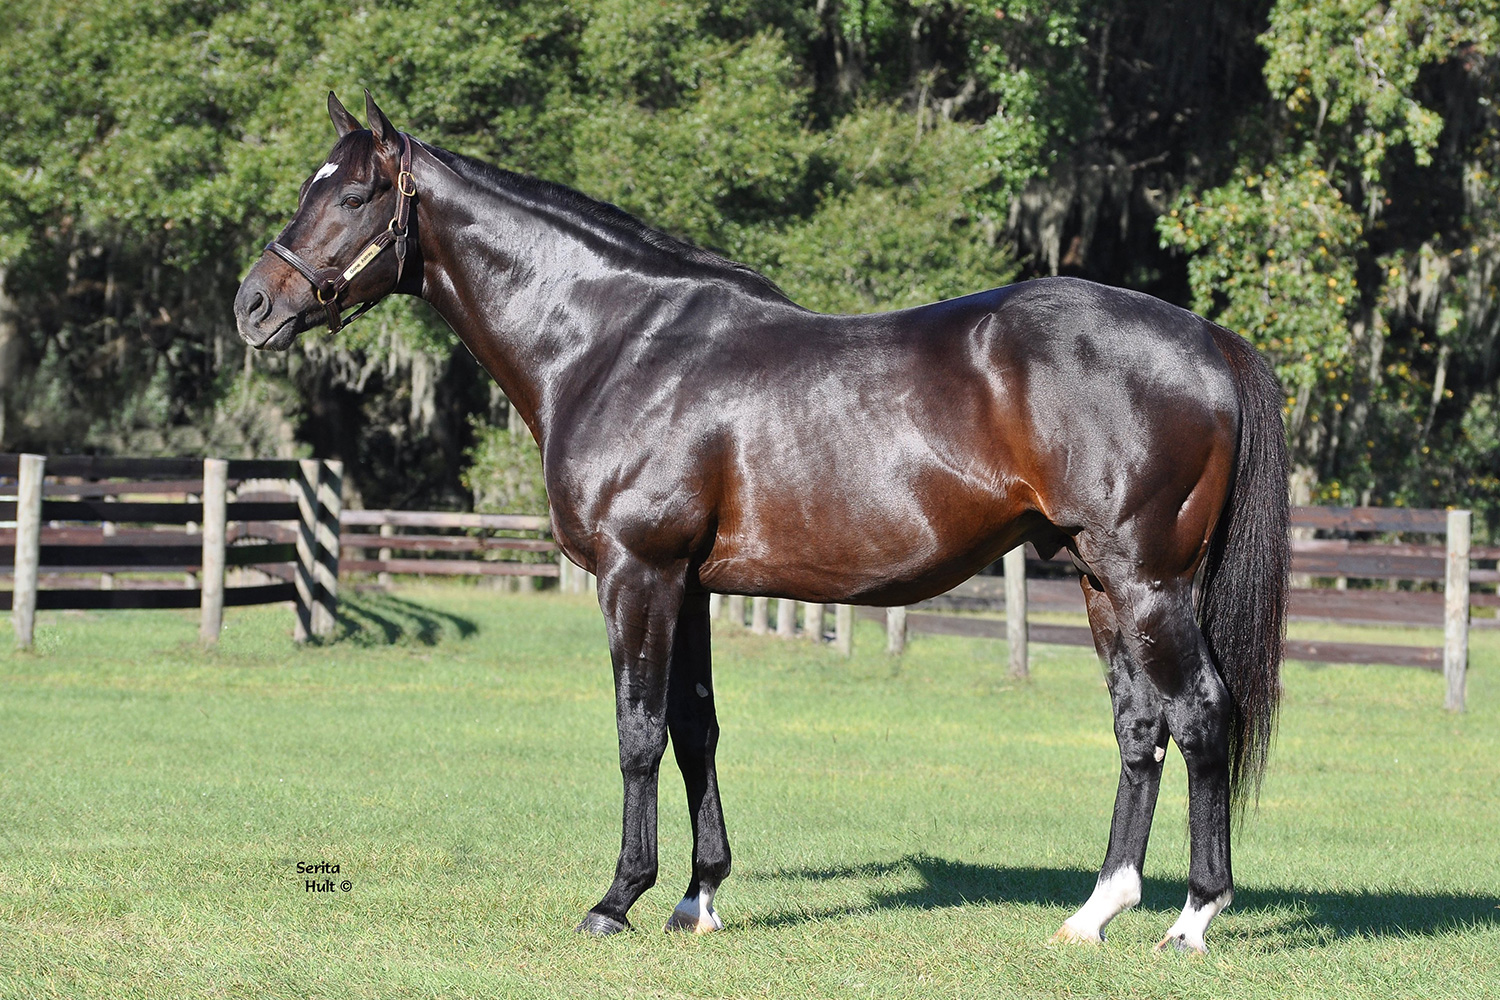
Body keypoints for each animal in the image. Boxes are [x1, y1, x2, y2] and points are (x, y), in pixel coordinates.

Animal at [235, 92, 1289, 953]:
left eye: (355, 195)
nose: (255, 304)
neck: (615, 344)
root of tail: (1207, 340)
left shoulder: (637, 573)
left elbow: (637, 730)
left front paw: (616, 900)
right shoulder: (690, 584)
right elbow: (695, 728)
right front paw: (697, 898)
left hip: (1150, 581)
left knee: (1200, 715)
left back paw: (1193, 920)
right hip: (1098, 578)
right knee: (1139, 727)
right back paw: (1095, 913)